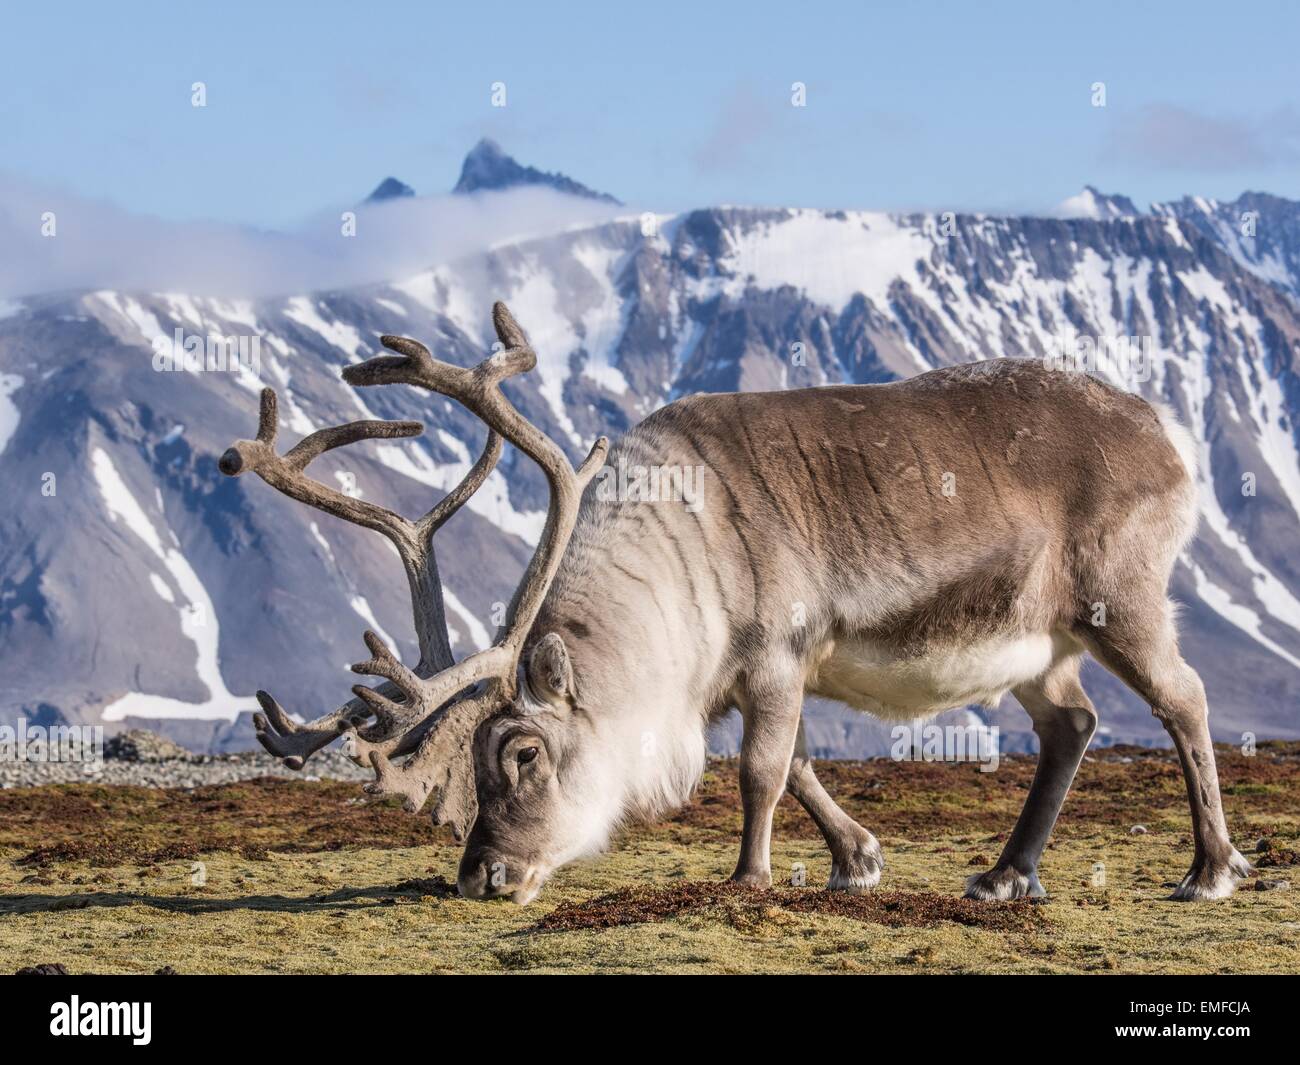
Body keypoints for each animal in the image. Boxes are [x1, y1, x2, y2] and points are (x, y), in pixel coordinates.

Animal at [219, 302, 1253, 905]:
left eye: (523, 752)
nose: (482, 876)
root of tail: (1167, 437)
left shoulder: (779, 650)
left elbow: (761, 770)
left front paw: (750, 875)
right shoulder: (728, 677)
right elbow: (796, 764)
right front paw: (858, 858)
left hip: (1120, 598)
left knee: (1187, 698)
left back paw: (1209, 869)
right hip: (1038, 644)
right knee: (1073, 722)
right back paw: (1005, 873)